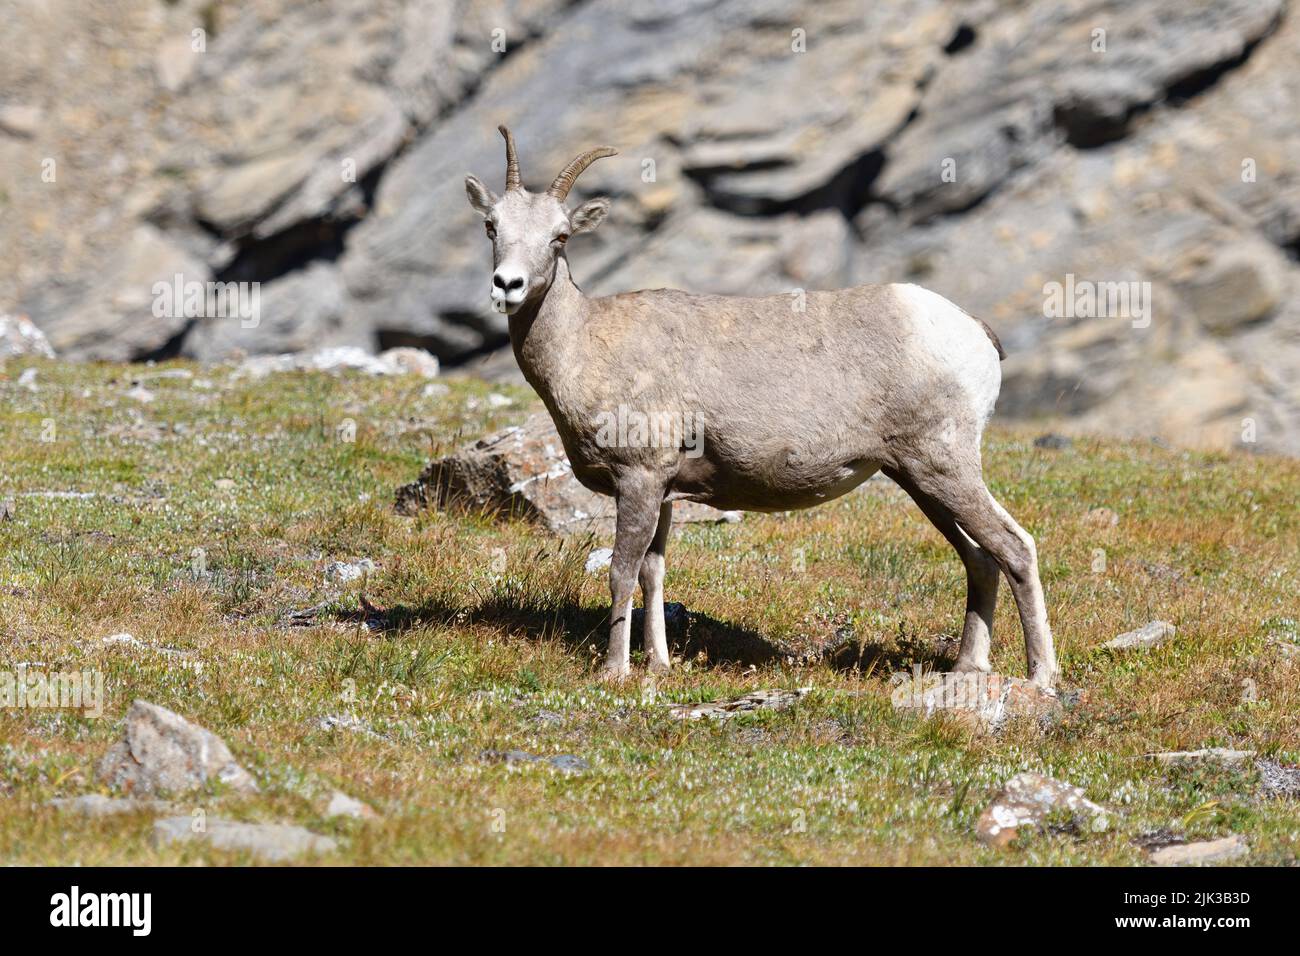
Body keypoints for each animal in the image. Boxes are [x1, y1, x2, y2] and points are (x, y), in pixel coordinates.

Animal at [465, 126, 1058, 688]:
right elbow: (655, 573)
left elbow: (622, 572)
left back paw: (1041, 676)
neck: (586, 344)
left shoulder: (638, 479)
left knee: (1016, 547)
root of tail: (973, 330)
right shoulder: (662, 492)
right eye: (492, 227)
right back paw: (967, 669)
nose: (507, 286)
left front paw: (616, 671)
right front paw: (658, 664)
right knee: (980, 558)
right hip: (919, 479)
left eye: (560, 236)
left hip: (944, 467)